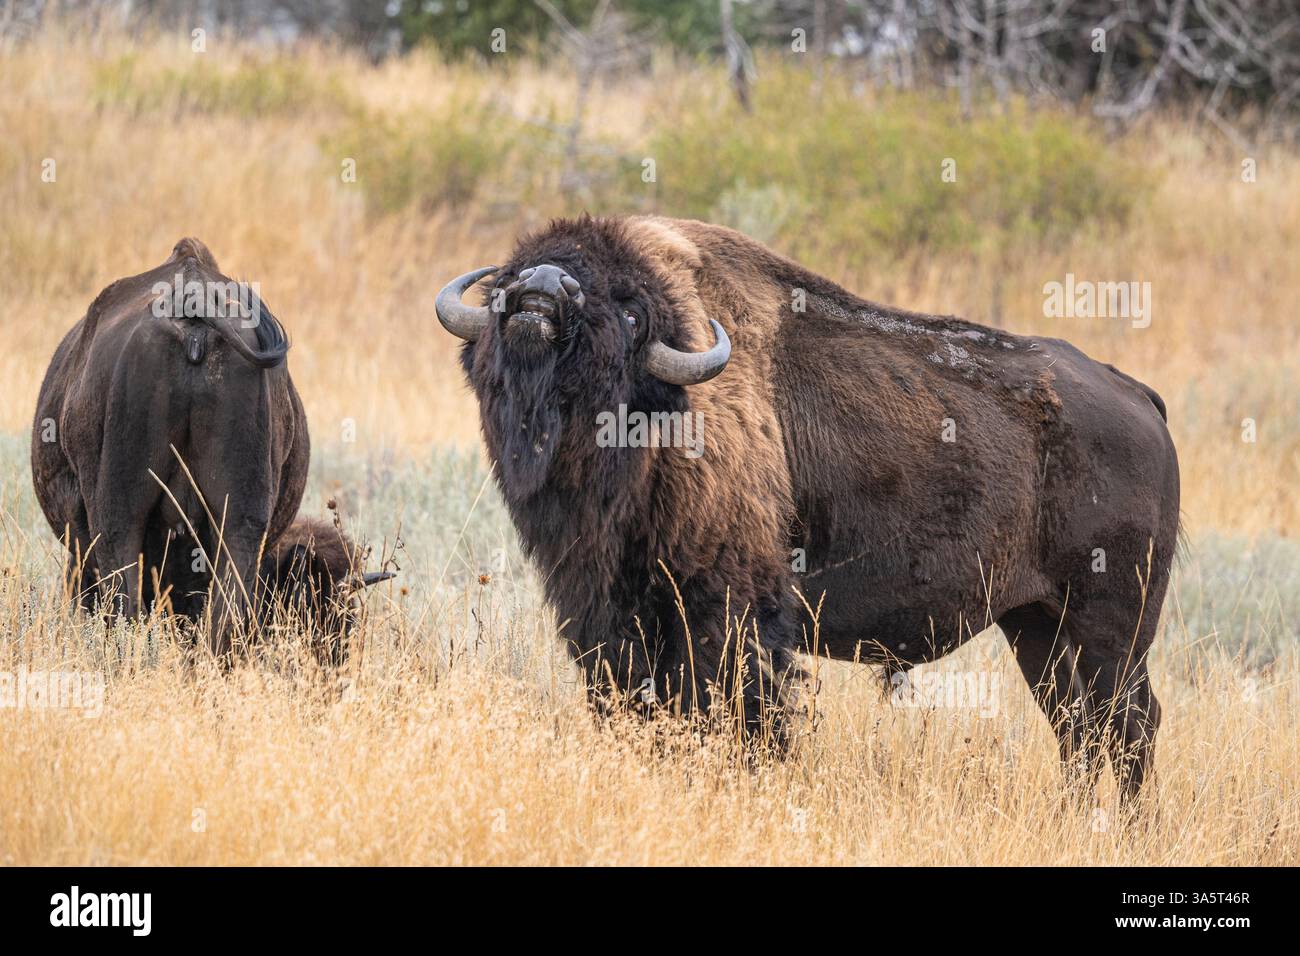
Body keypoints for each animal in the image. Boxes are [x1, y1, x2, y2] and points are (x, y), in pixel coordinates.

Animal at [436, 215, 1180, 798]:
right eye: (509, 277)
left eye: (628, 311)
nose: (541, 288)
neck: (665, 408)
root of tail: (1138, 396)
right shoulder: (606, 613)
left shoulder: (730, 613)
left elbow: (741, 711)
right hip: (1036, 626)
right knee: (1079, 729)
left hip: (1110, 629)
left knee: (1129, 725)